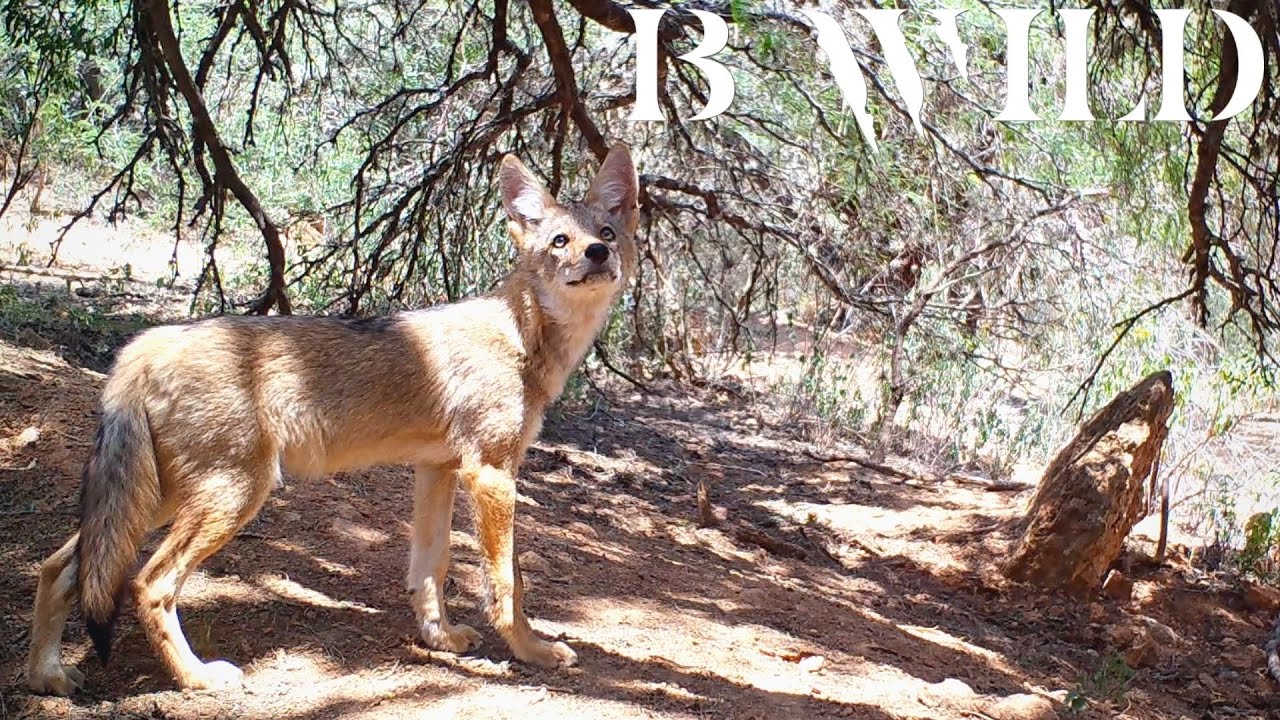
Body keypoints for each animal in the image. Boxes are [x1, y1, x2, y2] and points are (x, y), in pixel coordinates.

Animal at [25, 145, 640, 695]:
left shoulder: (438, 471)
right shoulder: (492, 475)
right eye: (560, 241)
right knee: (148, 585)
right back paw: (197, 679)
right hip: (229, 497)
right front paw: (532, 651)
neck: (520, 335)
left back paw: (46, 677)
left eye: (606, 234)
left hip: (160, 502)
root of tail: (144, 345)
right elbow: (509, 584)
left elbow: (432, 566)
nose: (596, 255)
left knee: (57, 567)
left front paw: (439, 639)